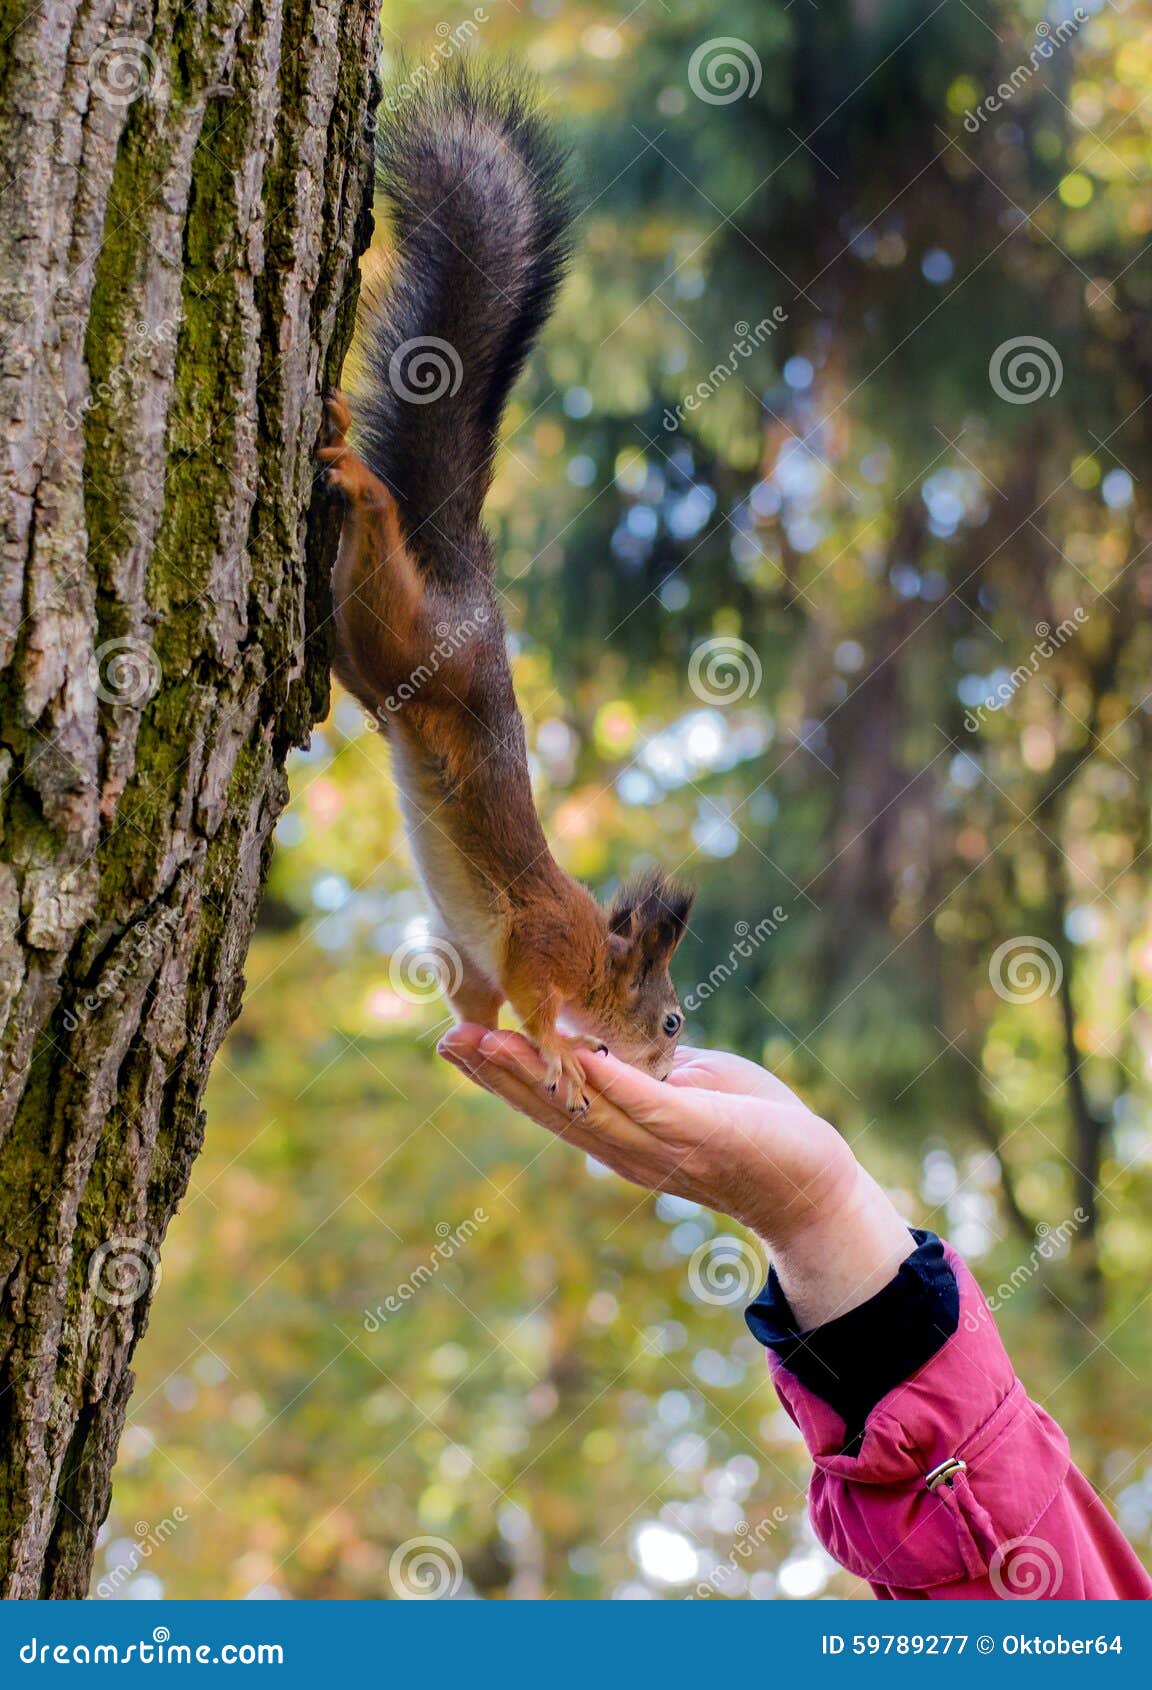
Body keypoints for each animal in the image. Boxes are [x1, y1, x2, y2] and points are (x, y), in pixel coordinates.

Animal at [317, 67, 694, 1113]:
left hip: (380, 660)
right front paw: (561, 1053)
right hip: (408, 634)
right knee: (378, 541)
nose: (674, 1068)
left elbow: (476, 1002)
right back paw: (359, 479)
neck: (599, 956)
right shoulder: (538, 939)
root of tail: (472, 599)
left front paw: (493, 1044)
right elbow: (529, 998)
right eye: (672, 1020)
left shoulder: (475, 961)